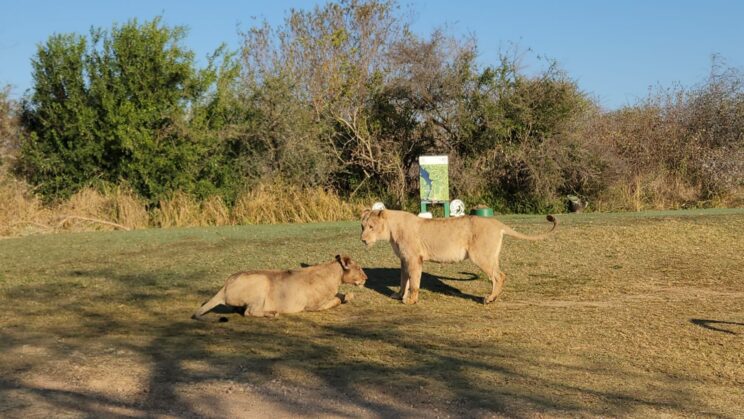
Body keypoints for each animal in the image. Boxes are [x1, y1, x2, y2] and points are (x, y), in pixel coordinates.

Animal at [192, 255, 367, 321]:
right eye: (359, 268)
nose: (366, 278)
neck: (335, 274)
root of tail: (225, 285)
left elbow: (344, 295)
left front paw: (349, 296)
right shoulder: (313, 306)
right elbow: (336, 300)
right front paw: (344, 298)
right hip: (261, 280)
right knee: (250, 312)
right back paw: (272, 313)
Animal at [360, 209, 557, 304]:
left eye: (371, 227)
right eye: (362, 226)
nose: (362, 240)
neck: (391, 229)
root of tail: (496, 222)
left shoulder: (415, 258)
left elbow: (414, 282)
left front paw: (411, 301)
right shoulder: (404, 259)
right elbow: (403, 280)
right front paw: (399, 295)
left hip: (481, 256)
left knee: (499, 276)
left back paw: (489, 299)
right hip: (491, 256)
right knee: (499, 275)